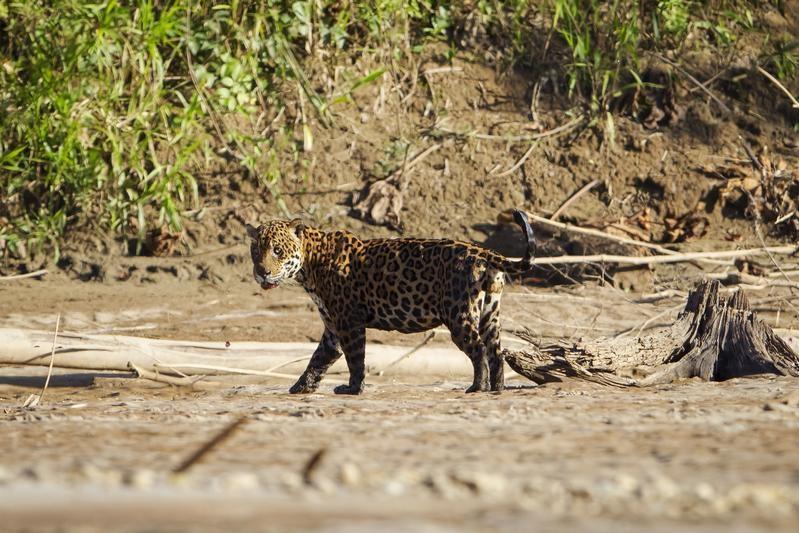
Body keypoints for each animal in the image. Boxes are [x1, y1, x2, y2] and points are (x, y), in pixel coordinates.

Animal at [245, 209, 535, 395]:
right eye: (256, 251)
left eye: (277, 250)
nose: (262, 272)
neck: (310, 264)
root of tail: (484, 251)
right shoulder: (333, 328)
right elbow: (318, 359)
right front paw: (300, 388)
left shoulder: (349, 322)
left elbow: (355, 359)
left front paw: (352, 389)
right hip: (490, 314)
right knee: (497, 352)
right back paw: (498, 388)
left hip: (459, 314)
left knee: (479, 350)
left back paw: (478, 387)